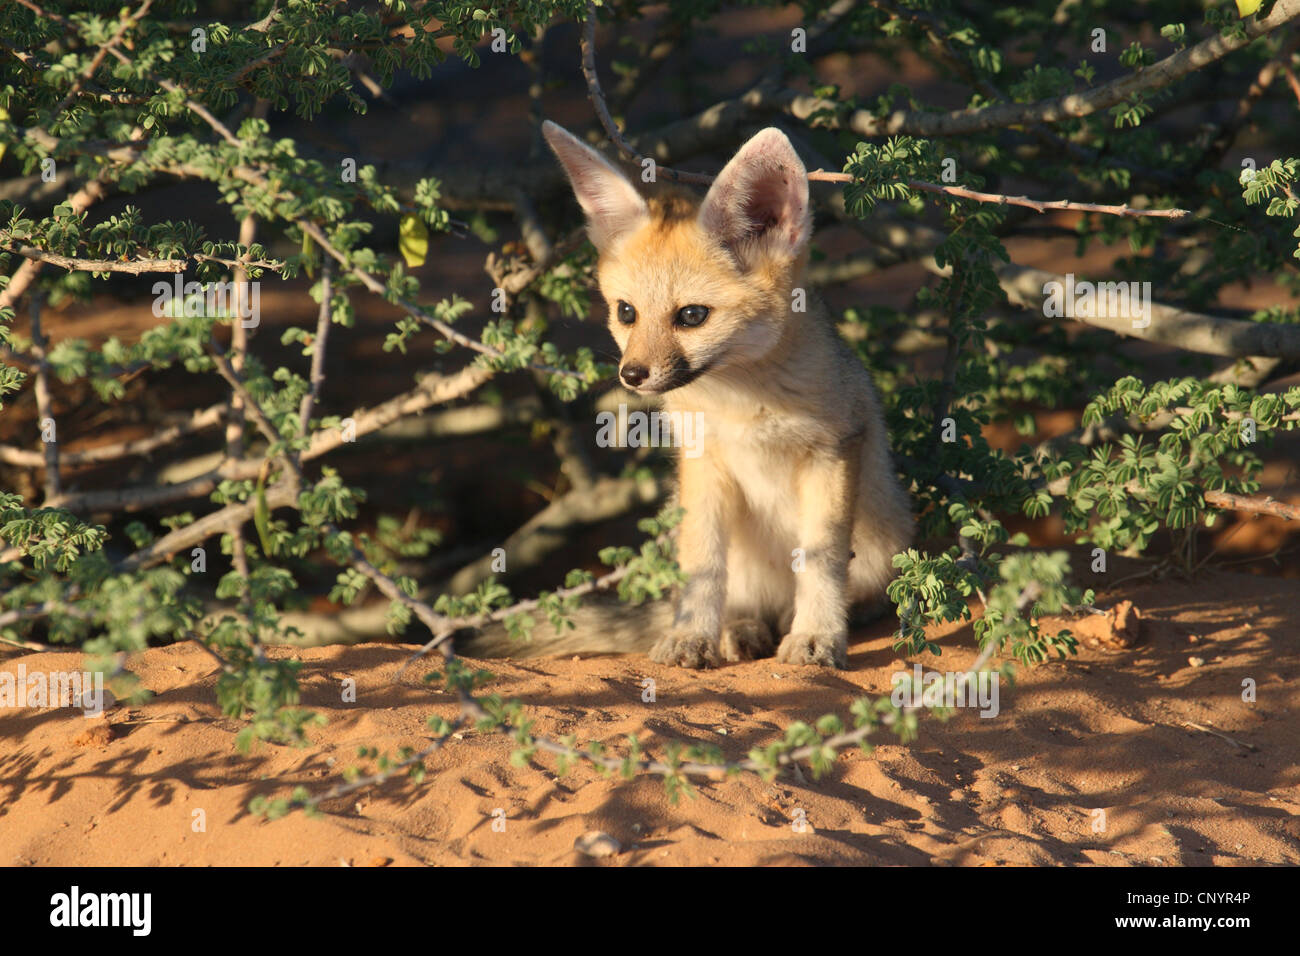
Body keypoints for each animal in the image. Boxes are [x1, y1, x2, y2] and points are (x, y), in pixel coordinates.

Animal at [457, 121, 913, 668]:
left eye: (692, 316)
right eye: (626, 312)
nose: (632, 374)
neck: (745, 405)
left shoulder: (832, 451)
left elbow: (821, 563)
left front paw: (817, 635)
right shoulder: (703, 462)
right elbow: (702, 566)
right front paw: (691, 636)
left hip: (880, 544)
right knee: (737, 599)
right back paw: (737, 630)